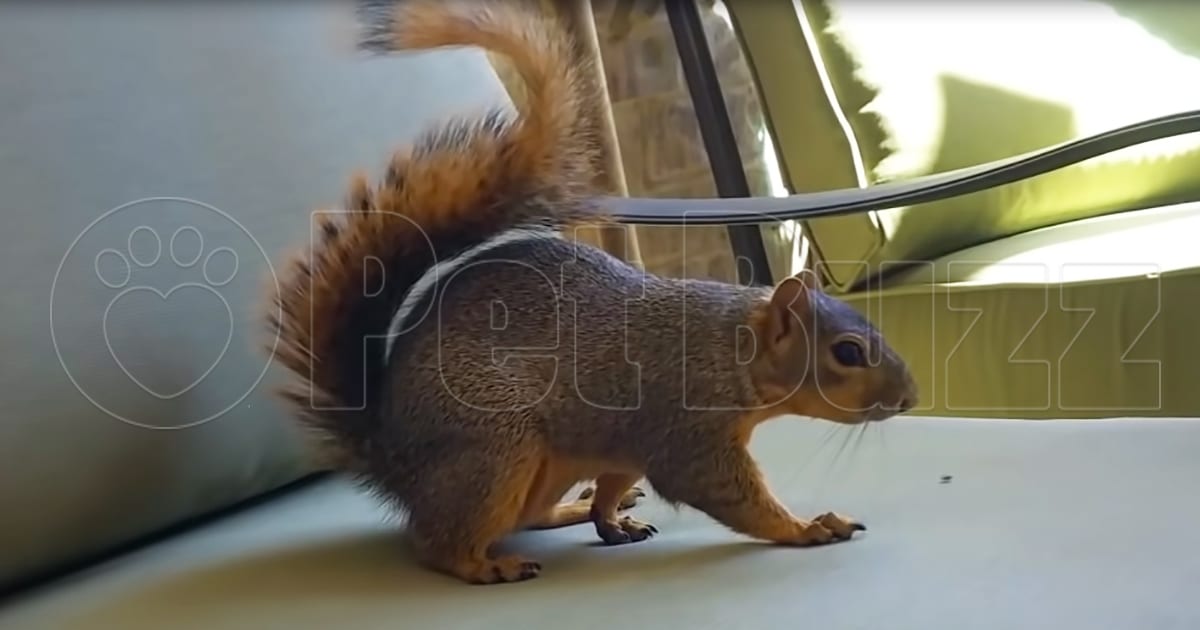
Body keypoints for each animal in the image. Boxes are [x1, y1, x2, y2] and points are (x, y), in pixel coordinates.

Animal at [267, 0, 919, 585]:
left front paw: (608, 514)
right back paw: (486, 565)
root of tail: (388, 456)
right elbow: (728, 494)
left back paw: (574, 509)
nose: (910, 398)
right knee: (435, 541)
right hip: (494, 450)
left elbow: (615, 481)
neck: (729, 347)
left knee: (525, 516)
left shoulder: (625, 446)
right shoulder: (684, 429)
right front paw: (808, 527)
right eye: (847, 352)